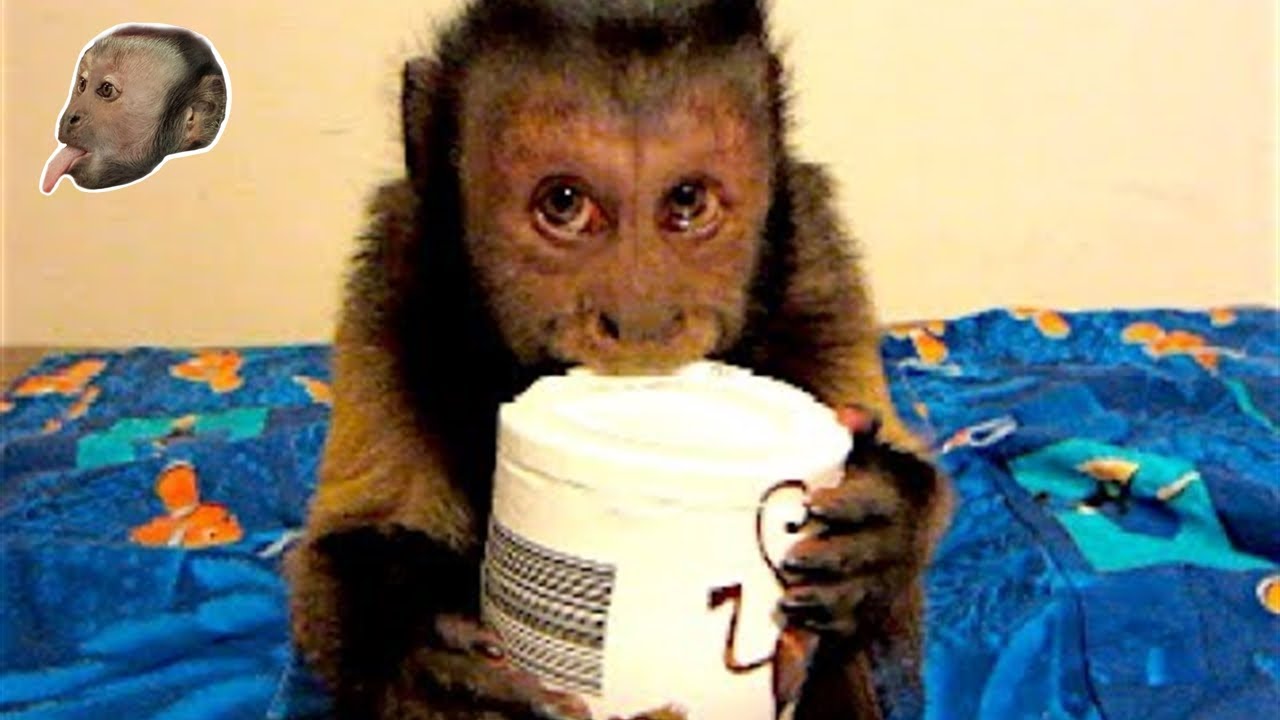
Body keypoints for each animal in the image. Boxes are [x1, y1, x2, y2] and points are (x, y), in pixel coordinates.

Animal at [285, 1, 953, 718]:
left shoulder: (820, 258)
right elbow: (340, 549)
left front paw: (884, 529)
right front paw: (423, 664)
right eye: (564, 203)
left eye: (687, 201)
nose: (641, 320)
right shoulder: (389, 275)